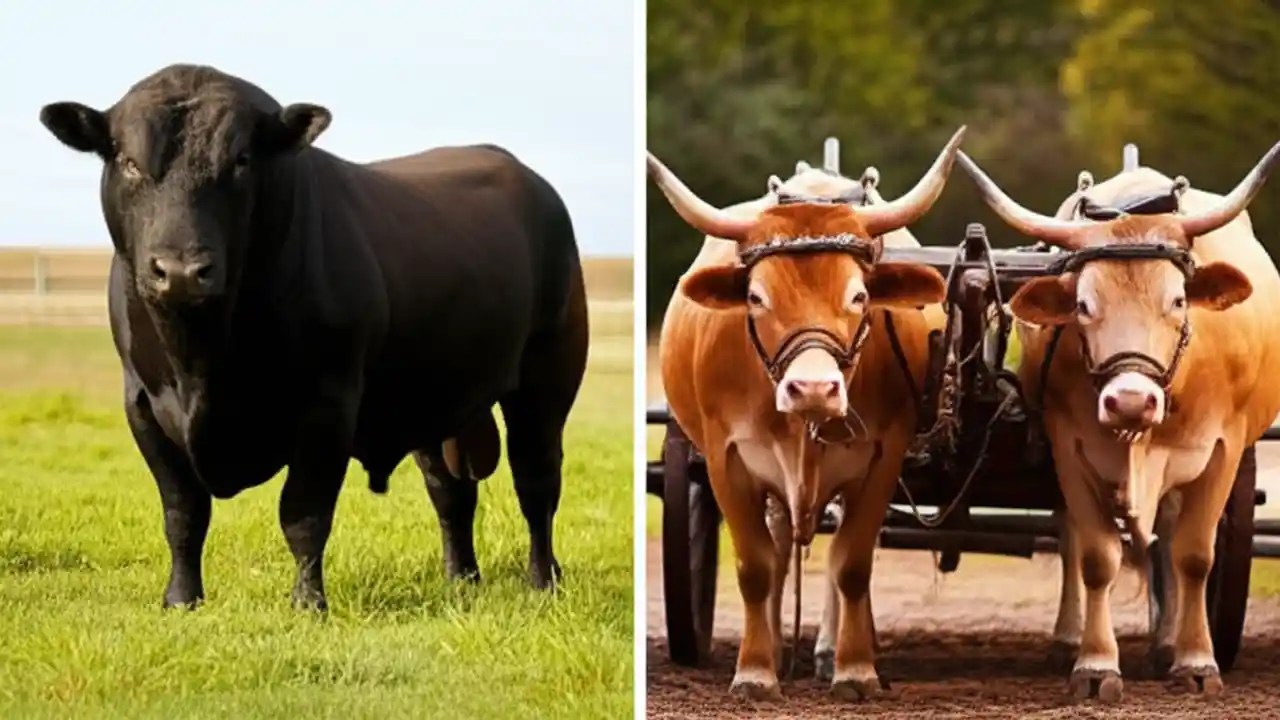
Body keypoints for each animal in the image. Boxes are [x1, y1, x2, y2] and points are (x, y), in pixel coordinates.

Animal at [38, 64, 588, 611]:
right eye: (130, 162)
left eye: (240, 161)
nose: (180, 272)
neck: (202, 361)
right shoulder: (143, 405)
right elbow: (183, 513)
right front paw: (181, 598)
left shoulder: (328, 404)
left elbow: (303, 514)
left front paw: (308, 602)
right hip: (433, 398)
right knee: (450, 491)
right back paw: (461, 578)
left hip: (546, 381)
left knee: (536, 483)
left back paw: (543, 580)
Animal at [649, 127, 963, 700]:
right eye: (756, 296)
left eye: (859, 295)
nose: (813, 388)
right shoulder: (726, 460)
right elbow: (756, 567)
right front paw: (755, 671)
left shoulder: (882, 459)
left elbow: (852, 564)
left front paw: (856, 669)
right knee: (778, 550)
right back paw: (778, 646)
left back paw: (826, 651)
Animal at [957, 140, 1280, 702]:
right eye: (1084, 304)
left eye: (1178, 300)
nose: (1131, 403)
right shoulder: (1069, 448)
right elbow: (1095, 558)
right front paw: (1094, 664)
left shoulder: (1224, 449)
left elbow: (1194, 555)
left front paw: (1197, 661)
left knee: (1168, 543)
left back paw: (1168, 644)